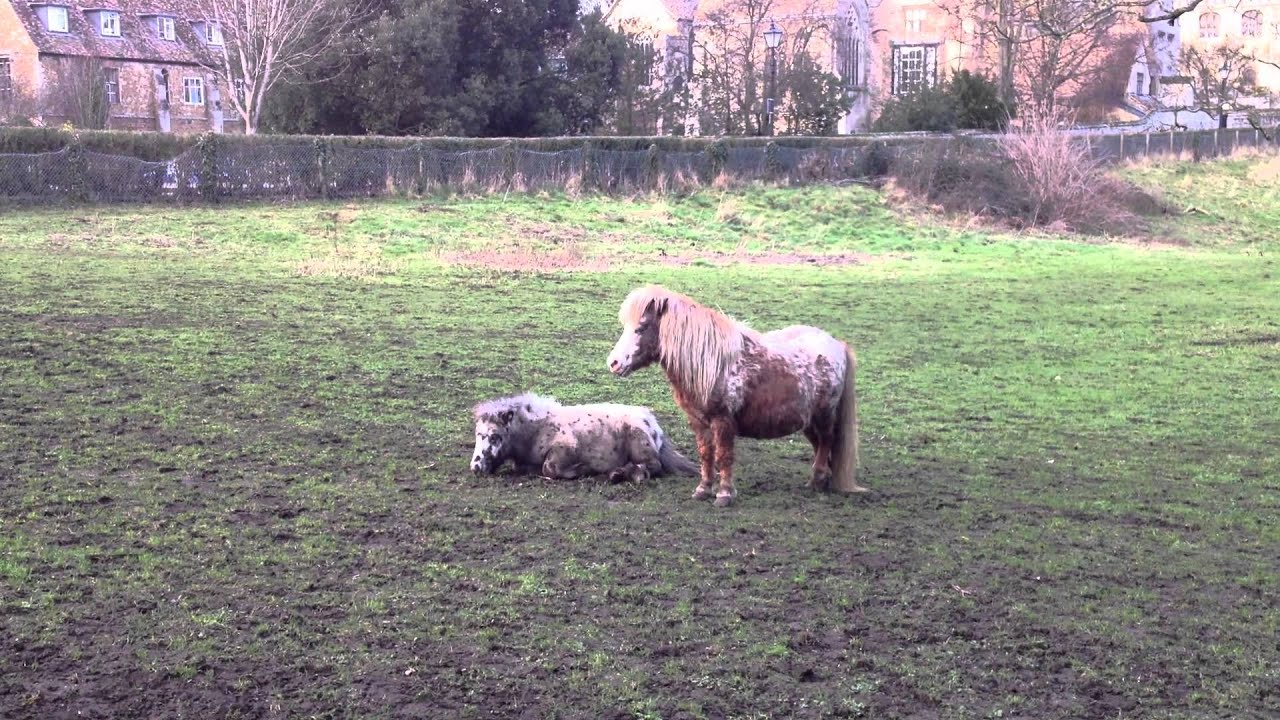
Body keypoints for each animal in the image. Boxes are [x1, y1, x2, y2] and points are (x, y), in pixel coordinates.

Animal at [469, 392, 699, 483]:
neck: (537, 429)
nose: (475, 467)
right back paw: (618, 473)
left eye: (494, 436)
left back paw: (625, 474)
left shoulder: (564, 449)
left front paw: (583, 469)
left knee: (653, 466)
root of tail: (652, 422)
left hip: (640, 445)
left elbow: (549, 468)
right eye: (478, 435)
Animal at [606, 285, 865, 507]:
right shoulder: (699, 423)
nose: (614, 363)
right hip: (807, 421)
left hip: (824, 416)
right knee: (821, 445)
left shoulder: (723, 422)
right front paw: (703, 489)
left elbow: (723, 457)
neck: (712, 363)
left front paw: (724, 494)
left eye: (641, 327)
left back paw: (817, 480)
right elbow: (706, 455)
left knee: (826, 441)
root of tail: (837, 345)